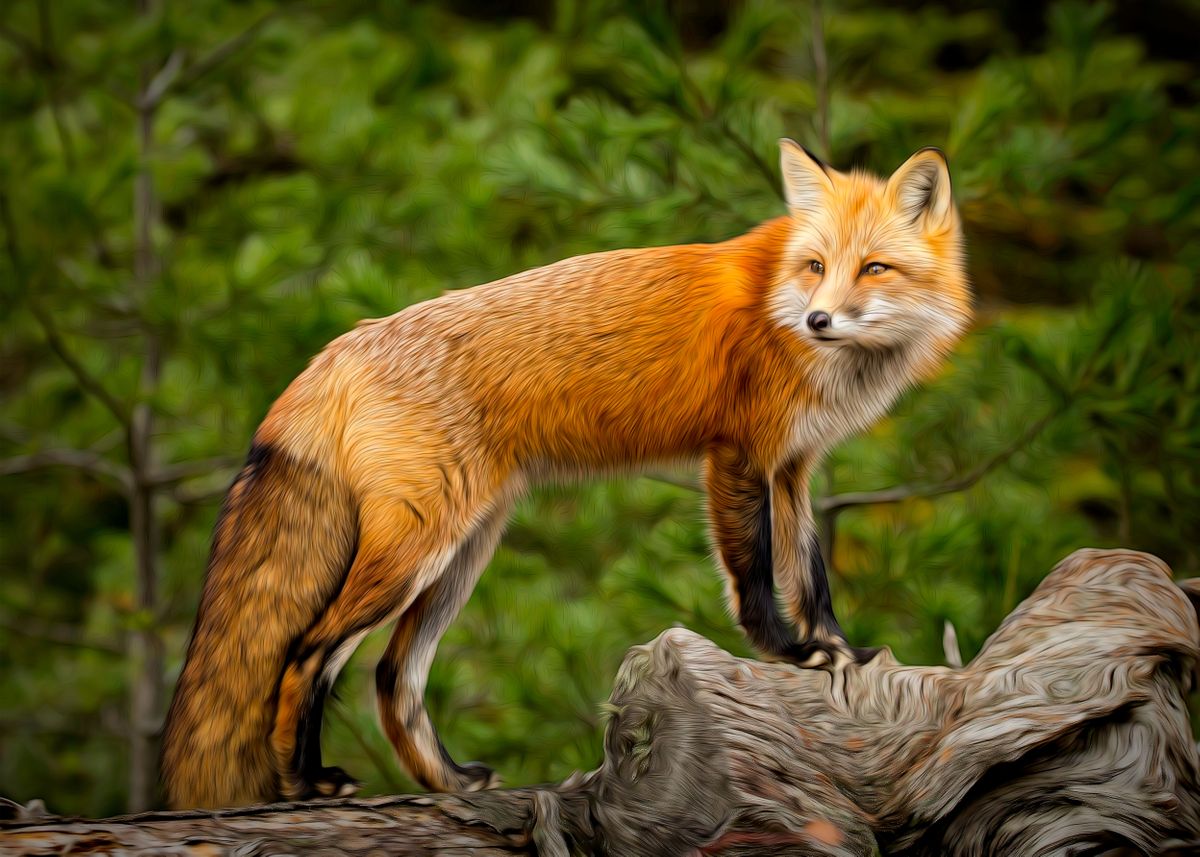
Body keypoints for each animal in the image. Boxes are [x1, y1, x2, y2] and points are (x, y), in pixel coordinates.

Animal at [161, 142, 971, 808]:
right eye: (815, 266)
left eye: (873, 268)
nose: (818, 321)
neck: (780, 302)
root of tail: (338, 348)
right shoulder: (737, 455)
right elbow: (755, 578)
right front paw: (792, 652)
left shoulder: (794, 466)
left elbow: (812, 574)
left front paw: (841, 649)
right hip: (415, 551)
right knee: (305, 655)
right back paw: (303, 782)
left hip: (463, 553)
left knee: (392, 678)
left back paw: (447, 782)